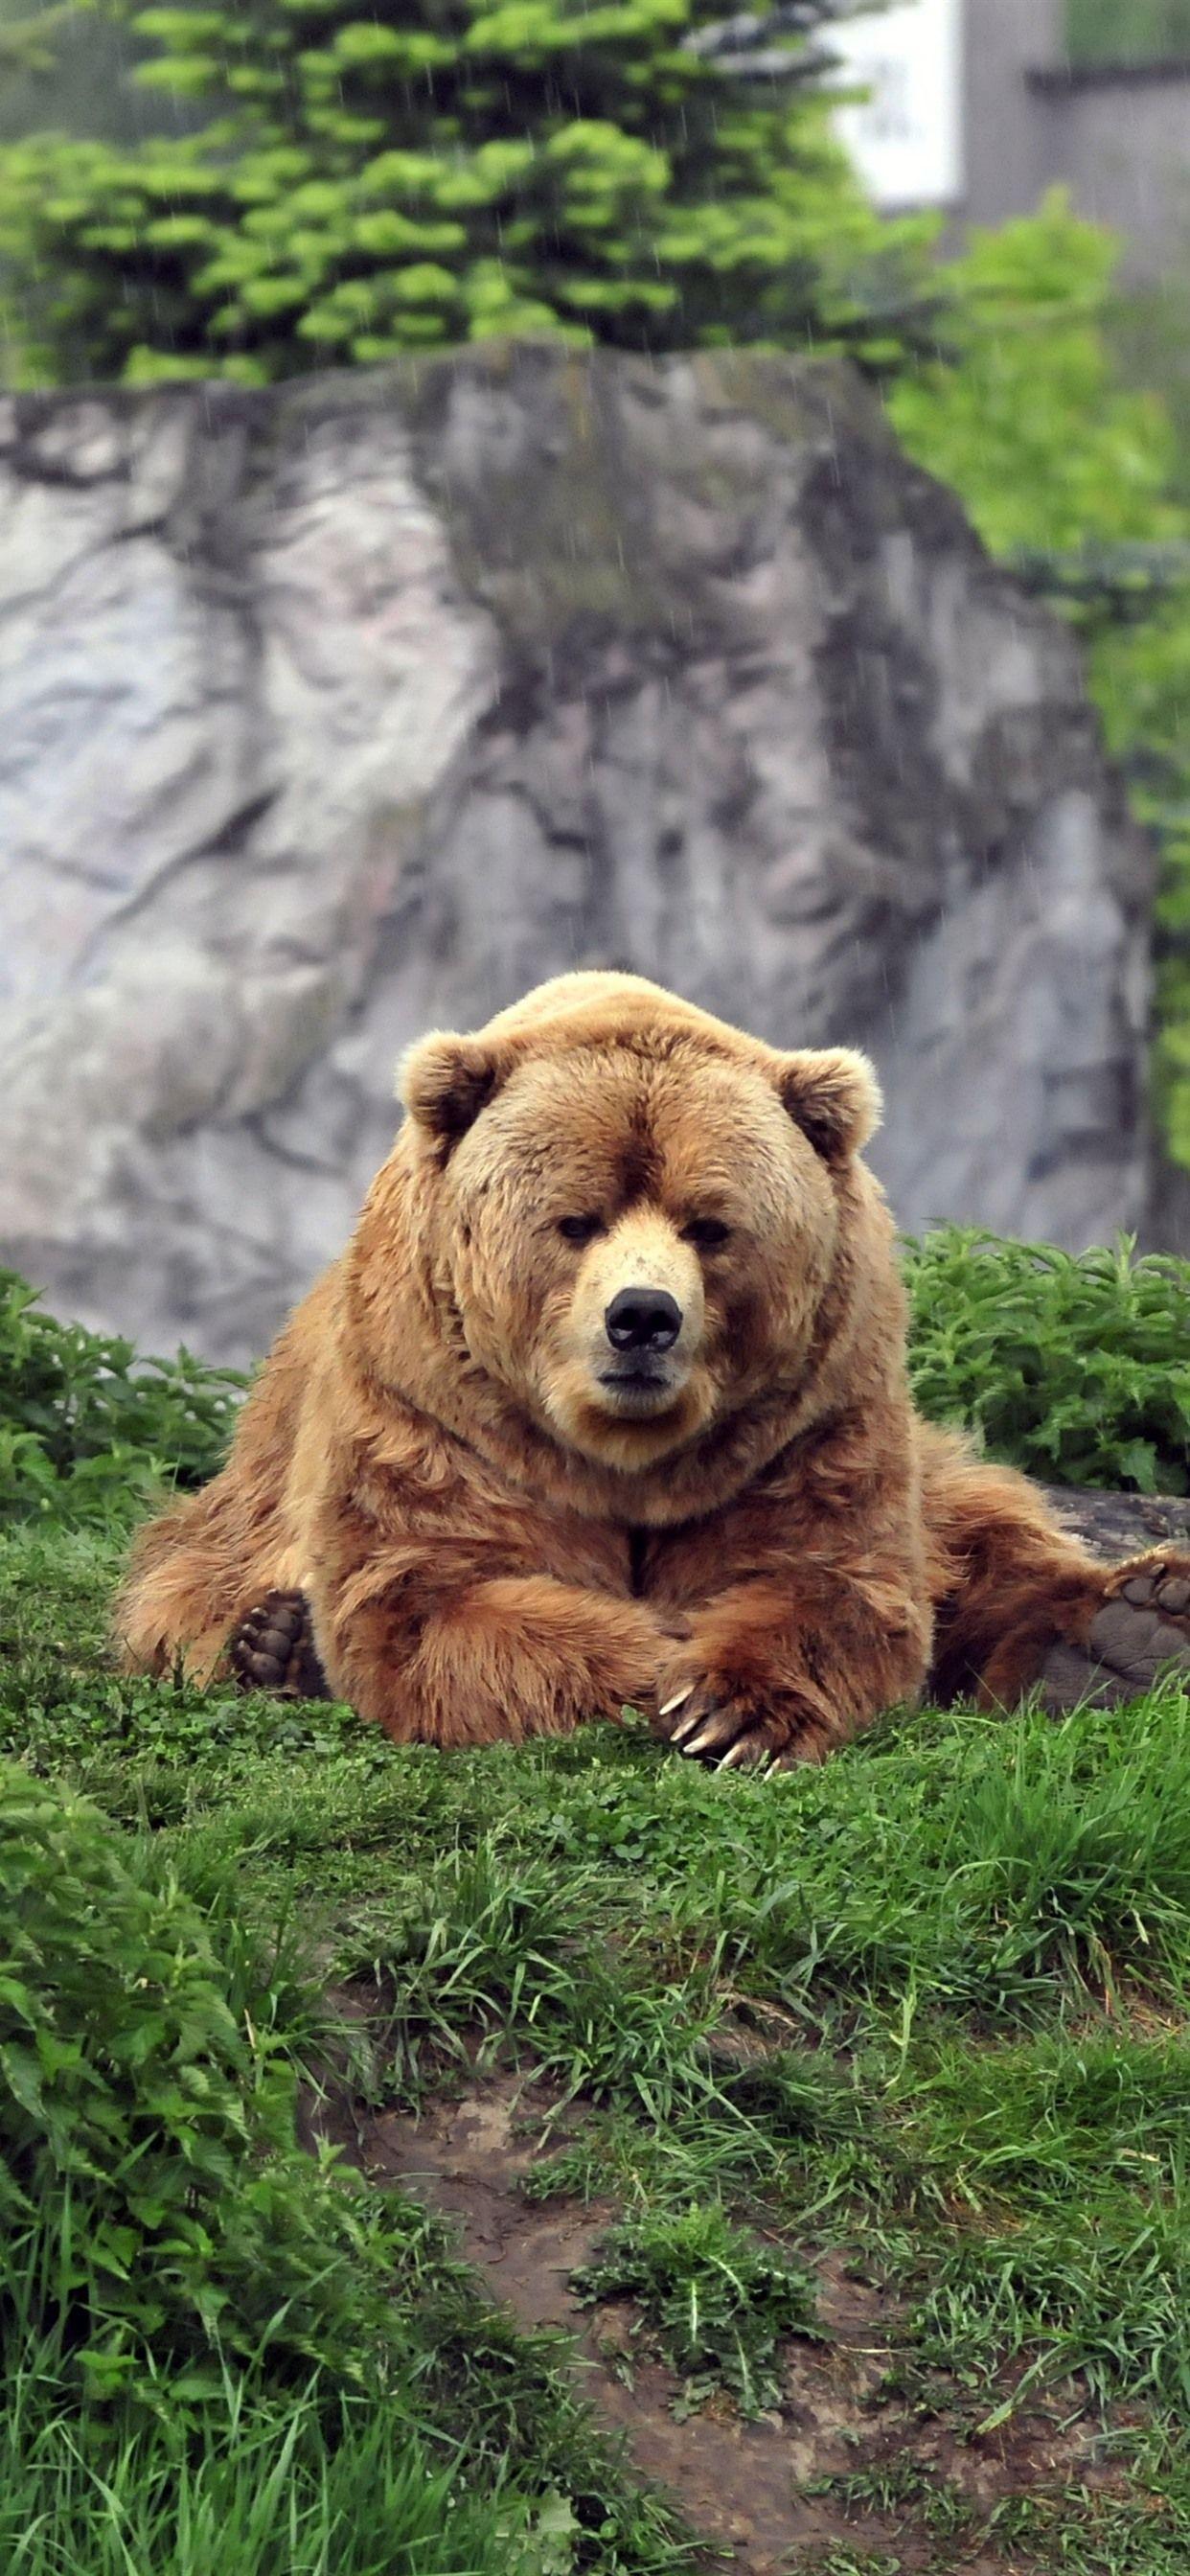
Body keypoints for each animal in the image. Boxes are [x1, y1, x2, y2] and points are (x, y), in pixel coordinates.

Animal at [112, 970, 1190, 1766]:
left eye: (710, 1225)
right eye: (575, 1219)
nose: (641, 1318)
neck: (625, 1456)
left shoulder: (809, 1415)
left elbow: (836, 1580)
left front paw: (731, 1705)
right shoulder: (435, 1407)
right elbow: (437, 1597)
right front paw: (657, 1661)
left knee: (984, 1529)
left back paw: (1129, 1628)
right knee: (191, 1587)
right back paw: (274, 1644)